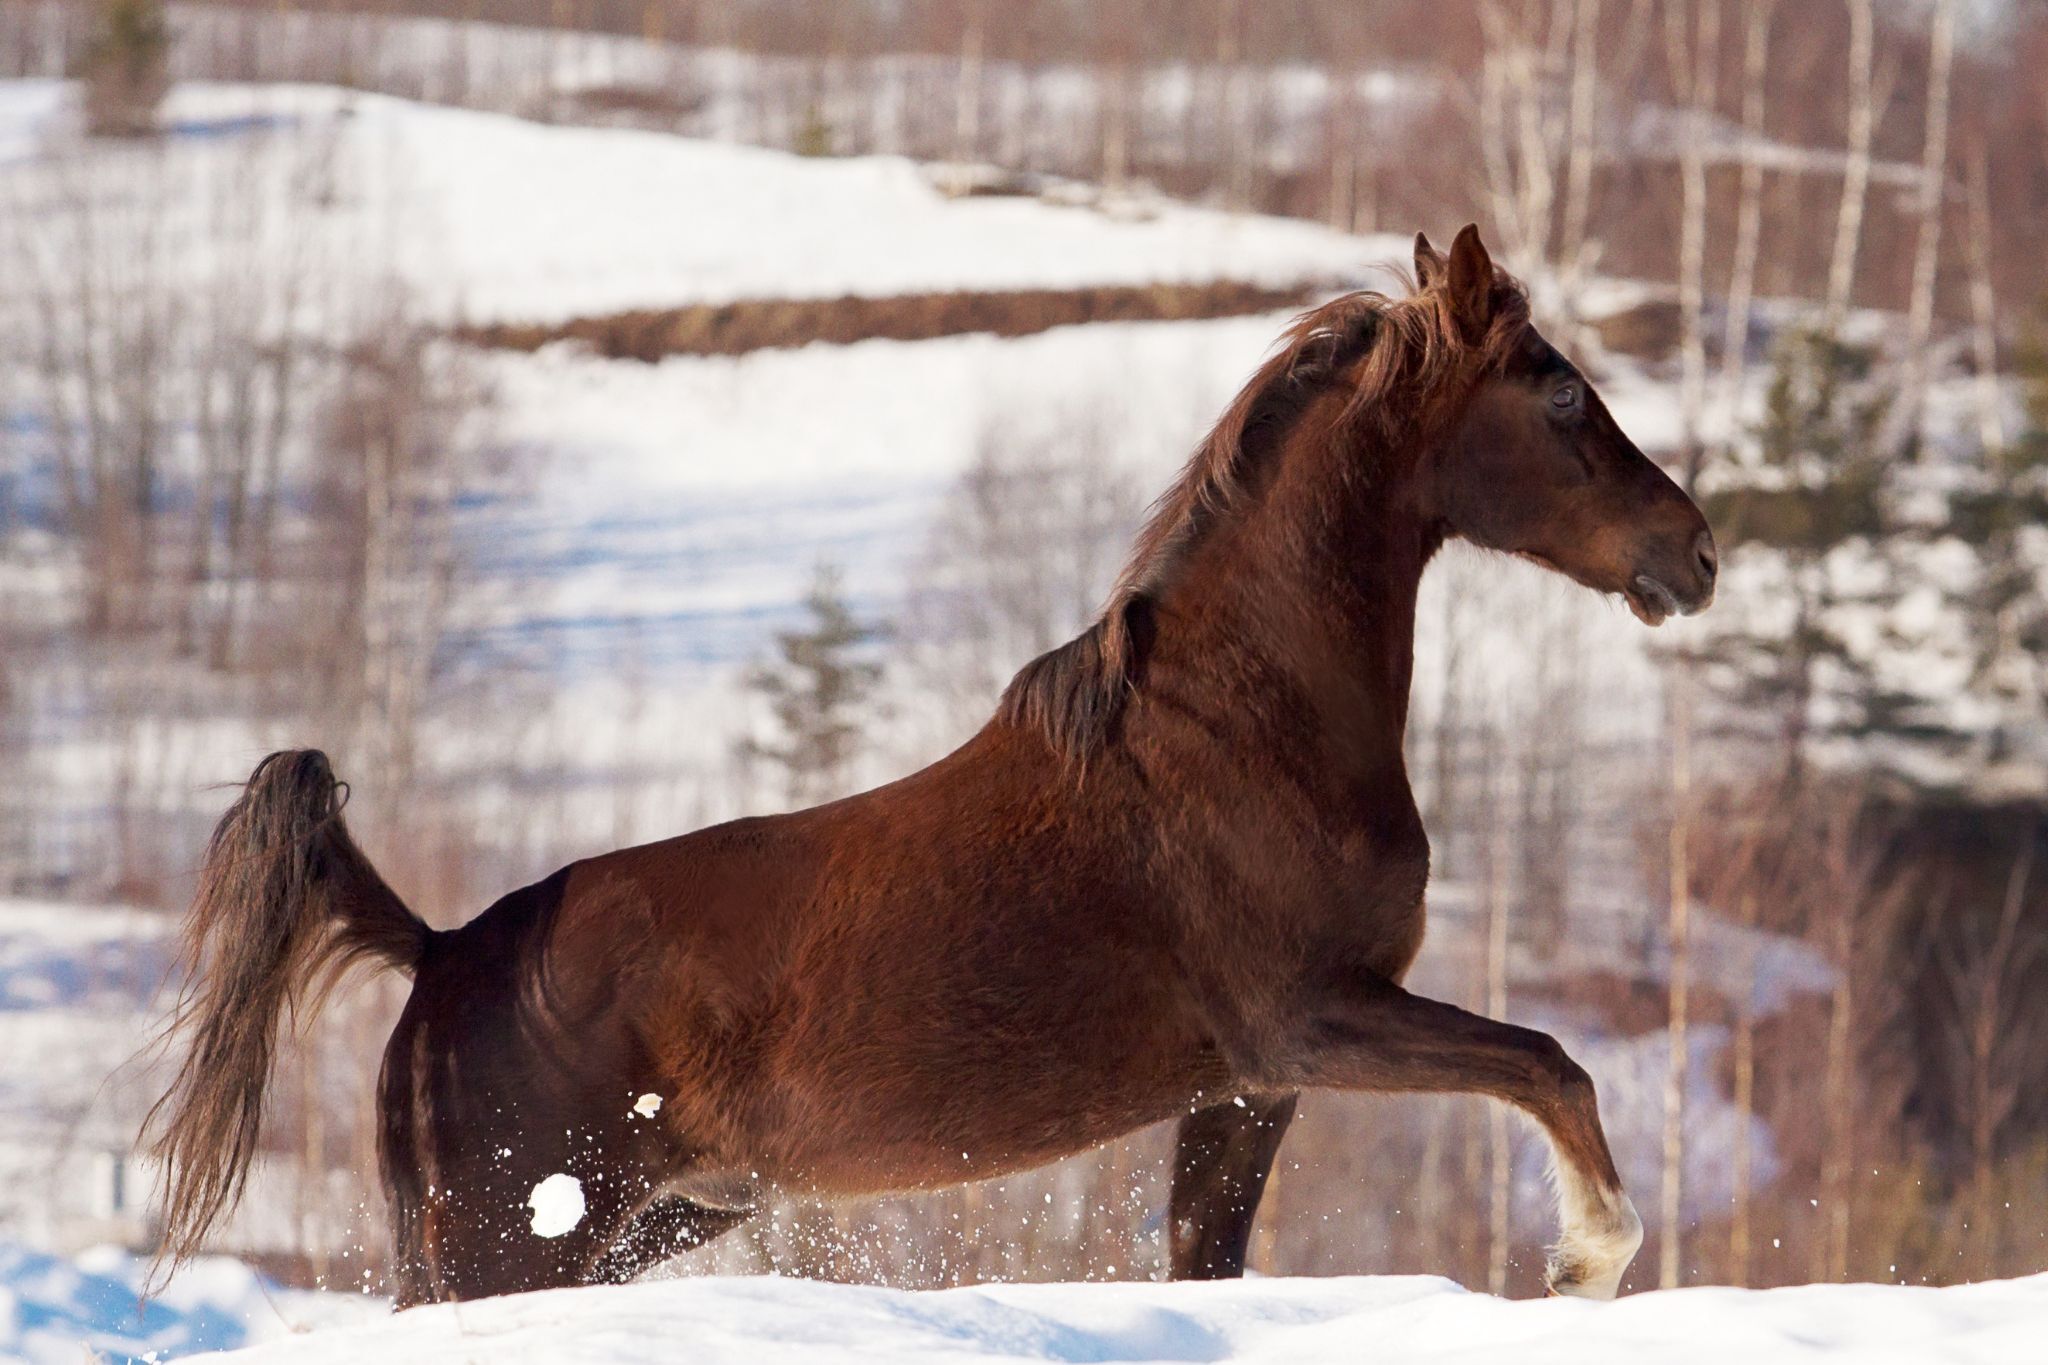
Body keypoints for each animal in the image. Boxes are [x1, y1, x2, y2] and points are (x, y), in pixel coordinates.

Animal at [147, 225, 1715, 1305]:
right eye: (1560, 396)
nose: (1692, 552)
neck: (1242, 736)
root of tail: (441, 948)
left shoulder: (1241, 1089)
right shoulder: (1314, 1022)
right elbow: (1551, 1065)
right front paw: (1587, 1261)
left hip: (653, 1214)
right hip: (498, 1232)